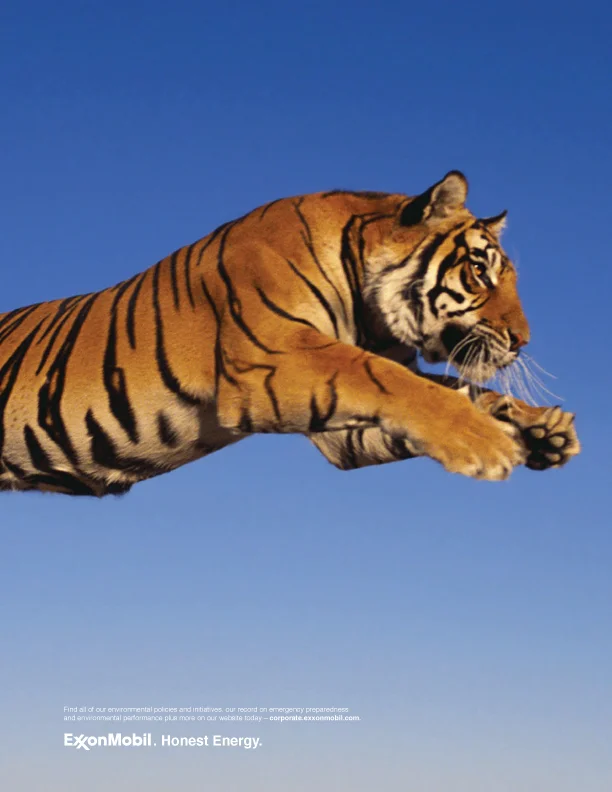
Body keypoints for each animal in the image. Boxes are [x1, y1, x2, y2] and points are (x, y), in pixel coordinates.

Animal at [0, 170, 580, 497]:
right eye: (480, 271)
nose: (523, 340)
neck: (368, 313)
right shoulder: (273, 361)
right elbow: (392, 378)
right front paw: (486, 442)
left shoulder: (338, 433)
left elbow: (457, 388)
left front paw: (542, 426)